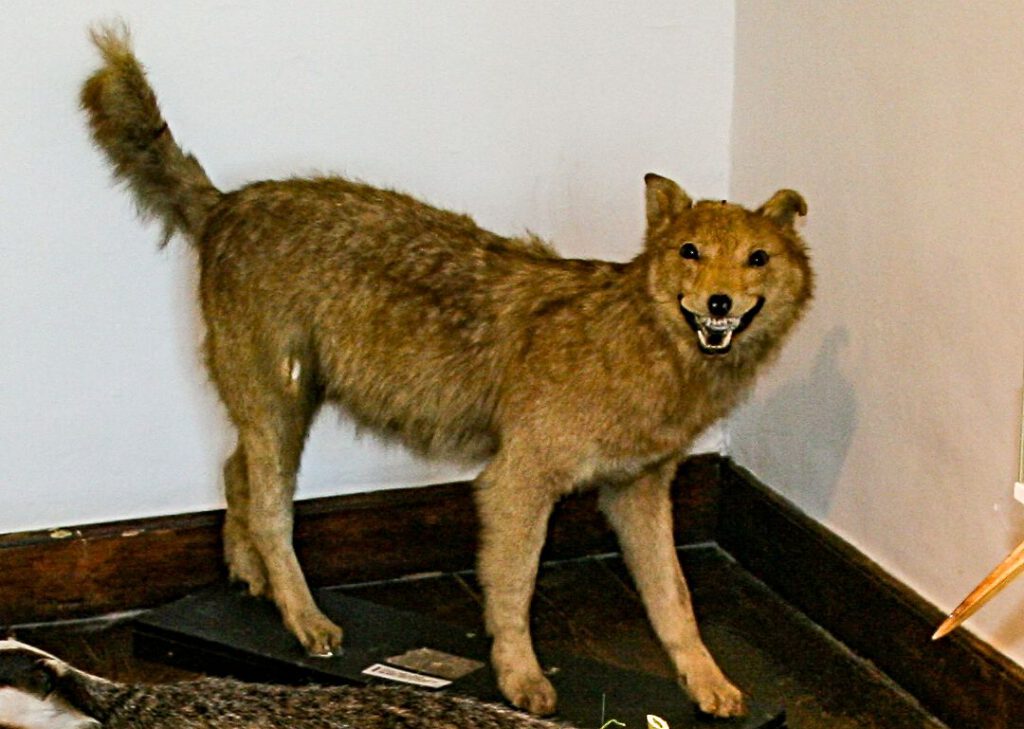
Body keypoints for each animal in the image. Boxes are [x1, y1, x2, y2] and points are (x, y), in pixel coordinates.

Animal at [80, 25, 813, 719]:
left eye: (756, 258)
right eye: (690, 252)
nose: (718, 303)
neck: (642, 343)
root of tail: (226, 204)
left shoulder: (641, 491)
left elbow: (676, 602)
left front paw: (710, 685)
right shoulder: (516, 481)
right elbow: (514, 589)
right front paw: (521, 679)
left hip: (283, 406)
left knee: (234, 472)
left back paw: (249, 579)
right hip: (280, 405)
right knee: (268, 511)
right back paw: (306, 620)